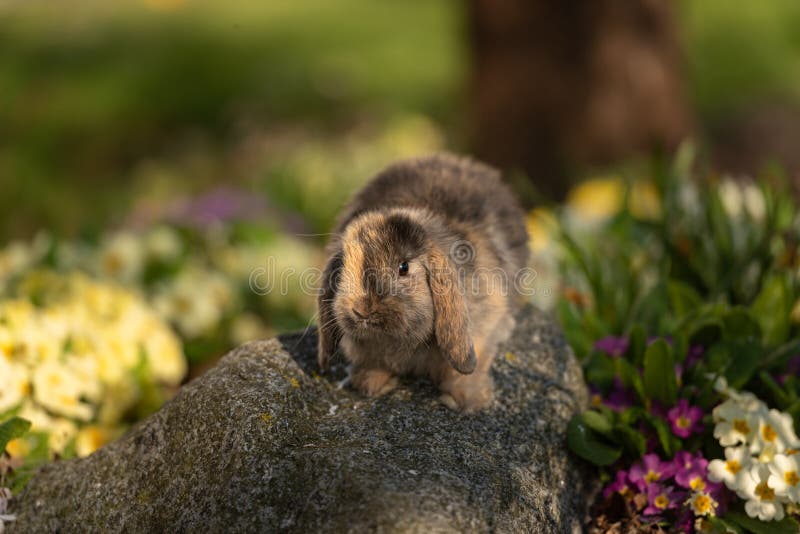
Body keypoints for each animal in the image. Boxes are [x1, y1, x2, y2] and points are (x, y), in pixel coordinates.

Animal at [317, 154, 529, 412]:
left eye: (404, 267)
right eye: (344, 266)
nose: (361, 310)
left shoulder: (485, 327)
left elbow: (469, 367)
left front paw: (467, 399)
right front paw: (370, 383)